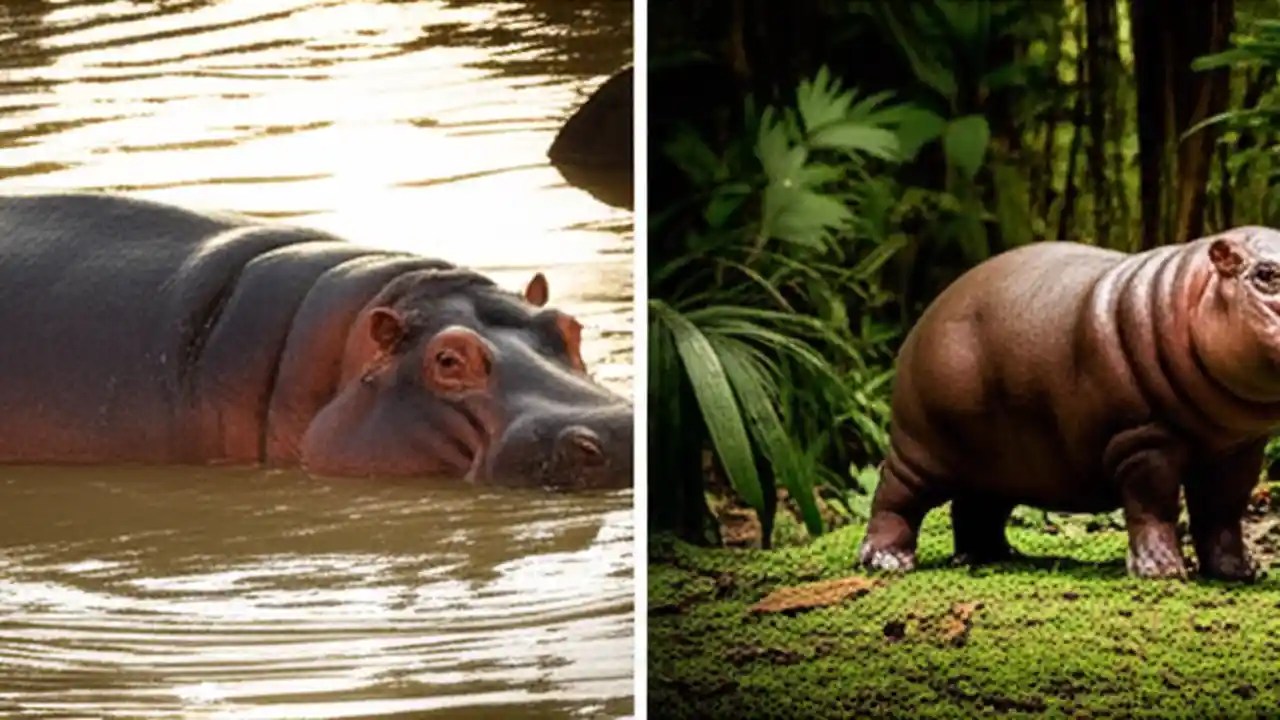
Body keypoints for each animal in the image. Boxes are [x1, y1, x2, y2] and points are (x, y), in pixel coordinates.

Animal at [859, 227, 1280, 580]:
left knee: (975, 508)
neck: (1193, 292)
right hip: (920, 444)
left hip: (997, 460)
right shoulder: (1143, 440)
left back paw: (993, 556)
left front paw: (1240, 571)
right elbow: (1154, 507)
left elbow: (1223, 513)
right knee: (894, 494)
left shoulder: (1236, 449)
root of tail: (928, 313)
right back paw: (889, 562)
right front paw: (1163, 573)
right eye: (1266, 274)